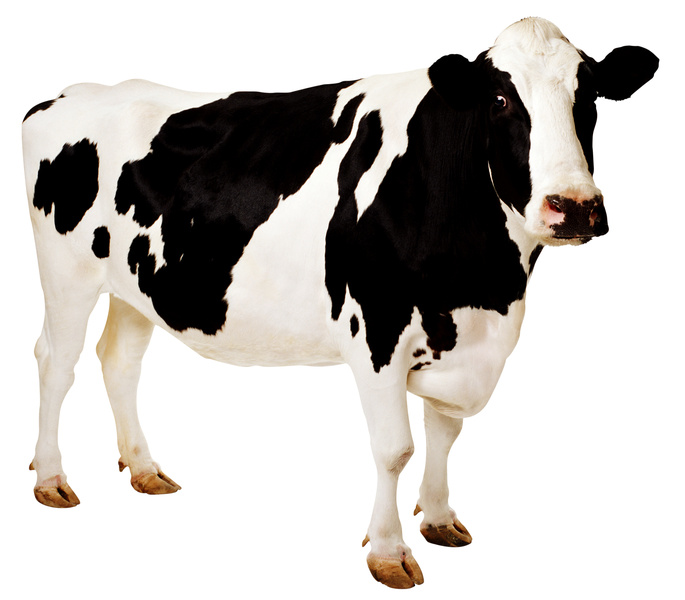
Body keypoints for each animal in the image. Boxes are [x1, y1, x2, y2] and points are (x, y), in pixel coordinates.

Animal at [22, 17, 657, 589]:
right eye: (501, 98)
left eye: (589, 96)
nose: (574, 206)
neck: (486, 281)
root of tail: (68, 94)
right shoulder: (376, 331)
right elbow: (395, 448)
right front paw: (389, 552)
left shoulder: (465, 338)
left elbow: (445, 432)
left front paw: (440, 519)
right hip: (66, 274)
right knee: (56, 362)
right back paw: (50, 479)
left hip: (138, 284)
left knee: (119, 362)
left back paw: (145, 468)